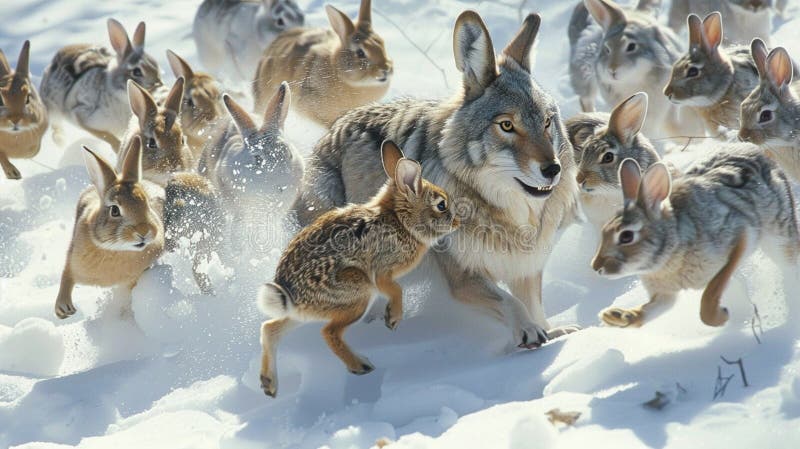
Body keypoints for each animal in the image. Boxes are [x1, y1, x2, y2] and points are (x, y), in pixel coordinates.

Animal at [40, 19, 162, 149]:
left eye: (157, 68)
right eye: (136, 71)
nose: (158, 85)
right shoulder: (82, 115)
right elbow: (107, 136)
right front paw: (118, 148)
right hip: (53, 108)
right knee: (56, 125)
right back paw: (60, 141)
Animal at [55, 136, 165, 319]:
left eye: (147, 204)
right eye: (114, 210)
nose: (143, 231)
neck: (115, 249)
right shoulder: (72, 258)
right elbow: (66, 277)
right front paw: (64, 309)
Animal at [257, 140, 459, 397]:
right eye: (441, 205)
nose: (457, 222)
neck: (400, 221)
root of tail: (290, 295)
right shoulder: (382, 271)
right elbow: (395, 289)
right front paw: (393, 318)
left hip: (305, 314)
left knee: (270, 330)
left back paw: (269, 384)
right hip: (358, 291)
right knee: (329, 333)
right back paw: (360, 366)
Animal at [591, 145, 799, 328]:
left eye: (626, 236)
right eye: (604, 232)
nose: (596, 267)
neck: (671, 247)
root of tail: (757, 151)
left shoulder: (738, 236)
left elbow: (712, 291)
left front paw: (720, 317)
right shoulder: (665, 293)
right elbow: (654, 308)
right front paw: (617, 317)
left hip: (779, 232)